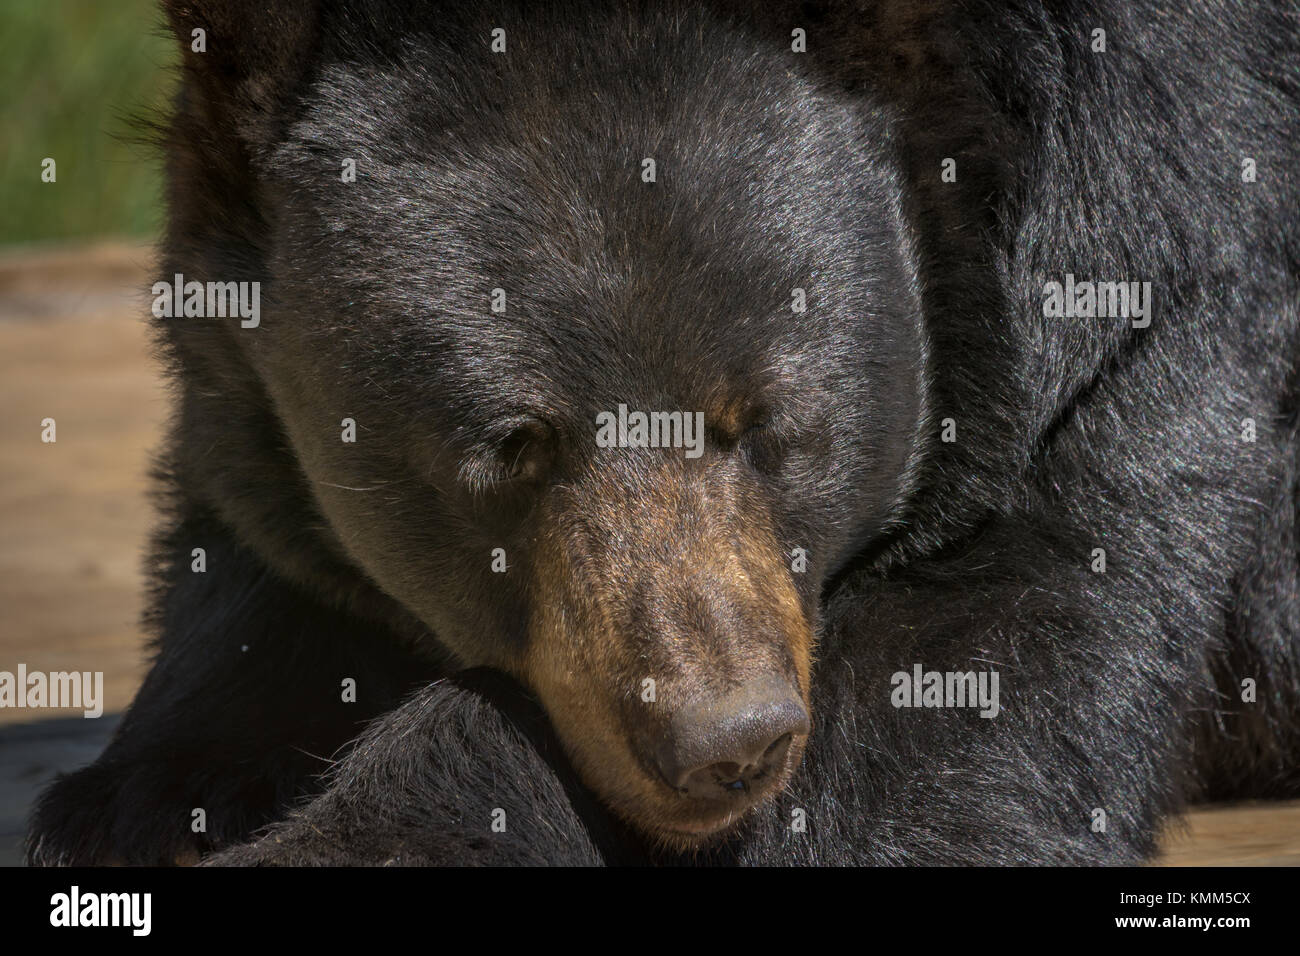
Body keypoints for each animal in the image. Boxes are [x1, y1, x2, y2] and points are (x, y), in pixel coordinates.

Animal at [26, 0, 1300, 866]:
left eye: (772, 422)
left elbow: (948, 710)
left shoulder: (1134, 275)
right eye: (511, 446)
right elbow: (258, 541)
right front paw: (137, 793)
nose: (727, 739)